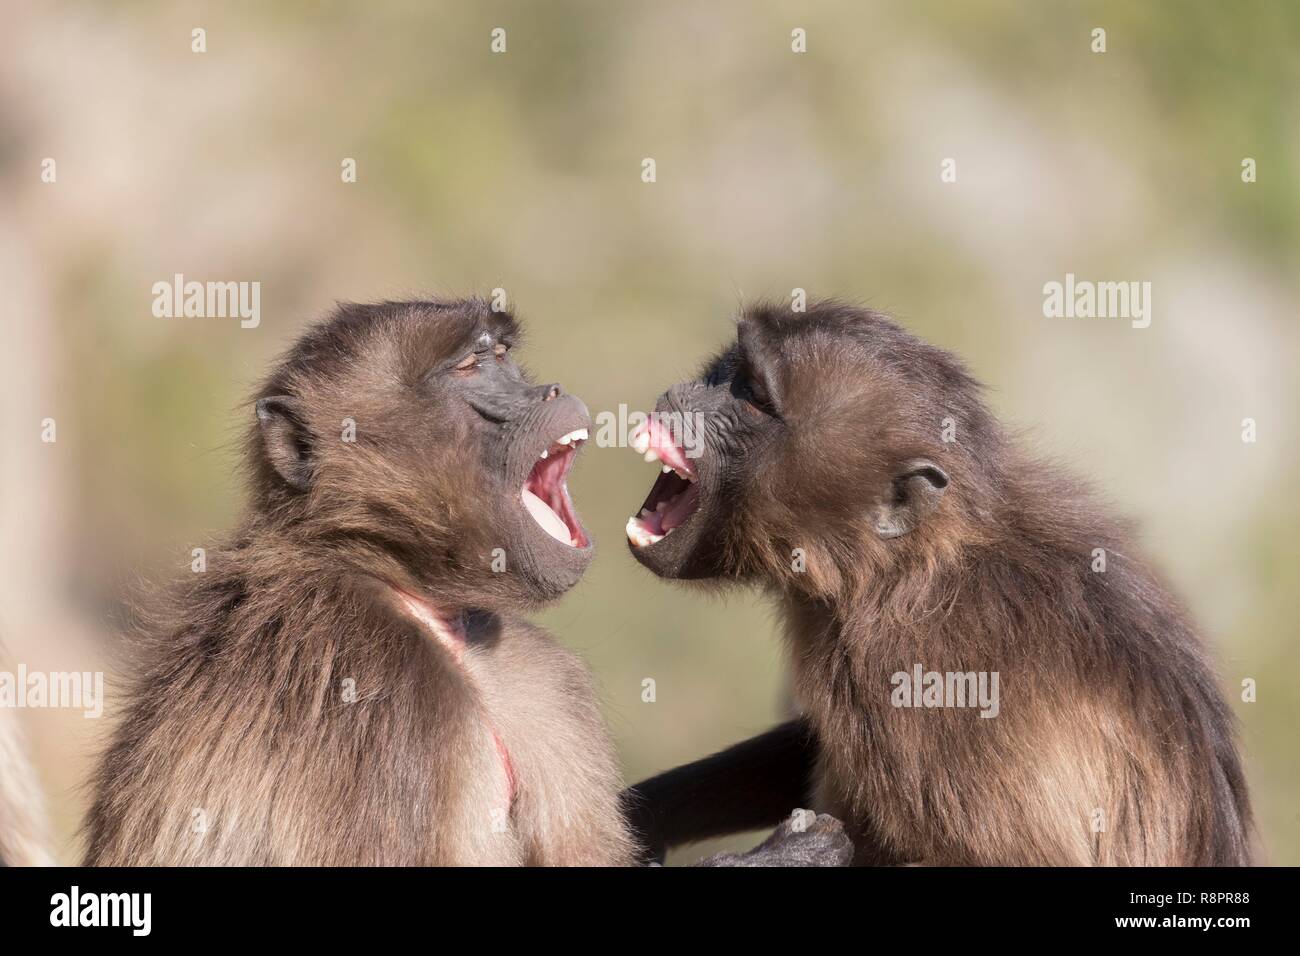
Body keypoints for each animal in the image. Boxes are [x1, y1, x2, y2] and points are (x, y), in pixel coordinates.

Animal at [621, 300, 1251, 866]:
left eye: (751, 396)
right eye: (726, 370)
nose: (684, 396)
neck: (902, 568)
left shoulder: (928, 676)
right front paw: (640, 818)